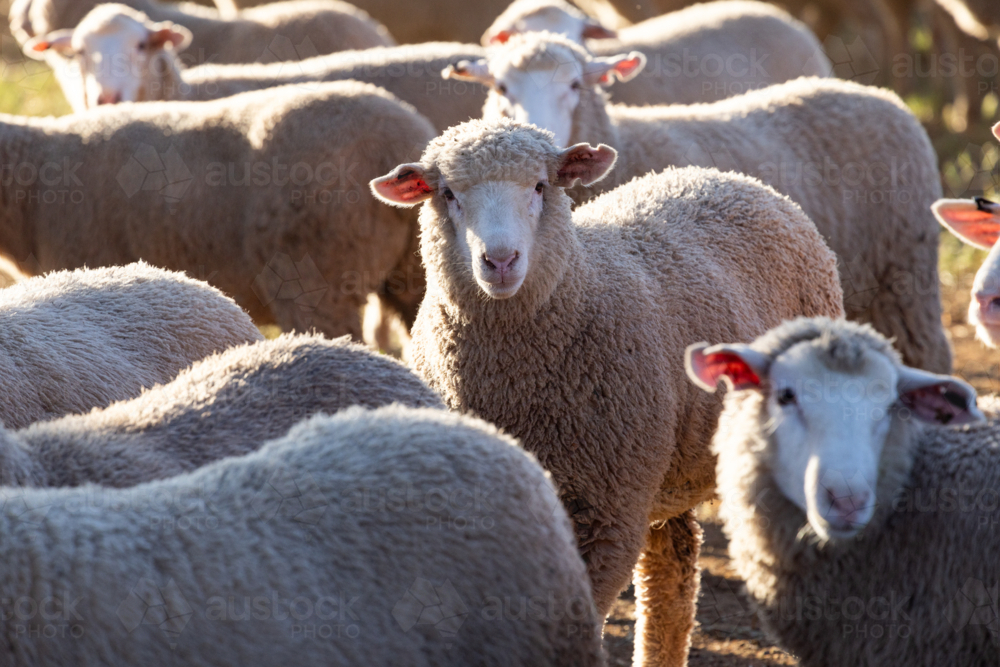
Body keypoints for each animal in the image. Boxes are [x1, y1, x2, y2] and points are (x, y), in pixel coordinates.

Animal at [369, 118, 845, 666]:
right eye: (447, 193)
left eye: (541, 186)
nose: (501, 261)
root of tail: (736, 180)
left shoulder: (605, 515)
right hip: (662, 469)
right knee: (671, 573)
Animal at [445, 34, 951, 373]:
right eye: (502, 87)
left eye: (574, 84)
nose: (544, 134)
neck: (625, 138)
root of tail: (879, 94)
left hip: (905, 272)